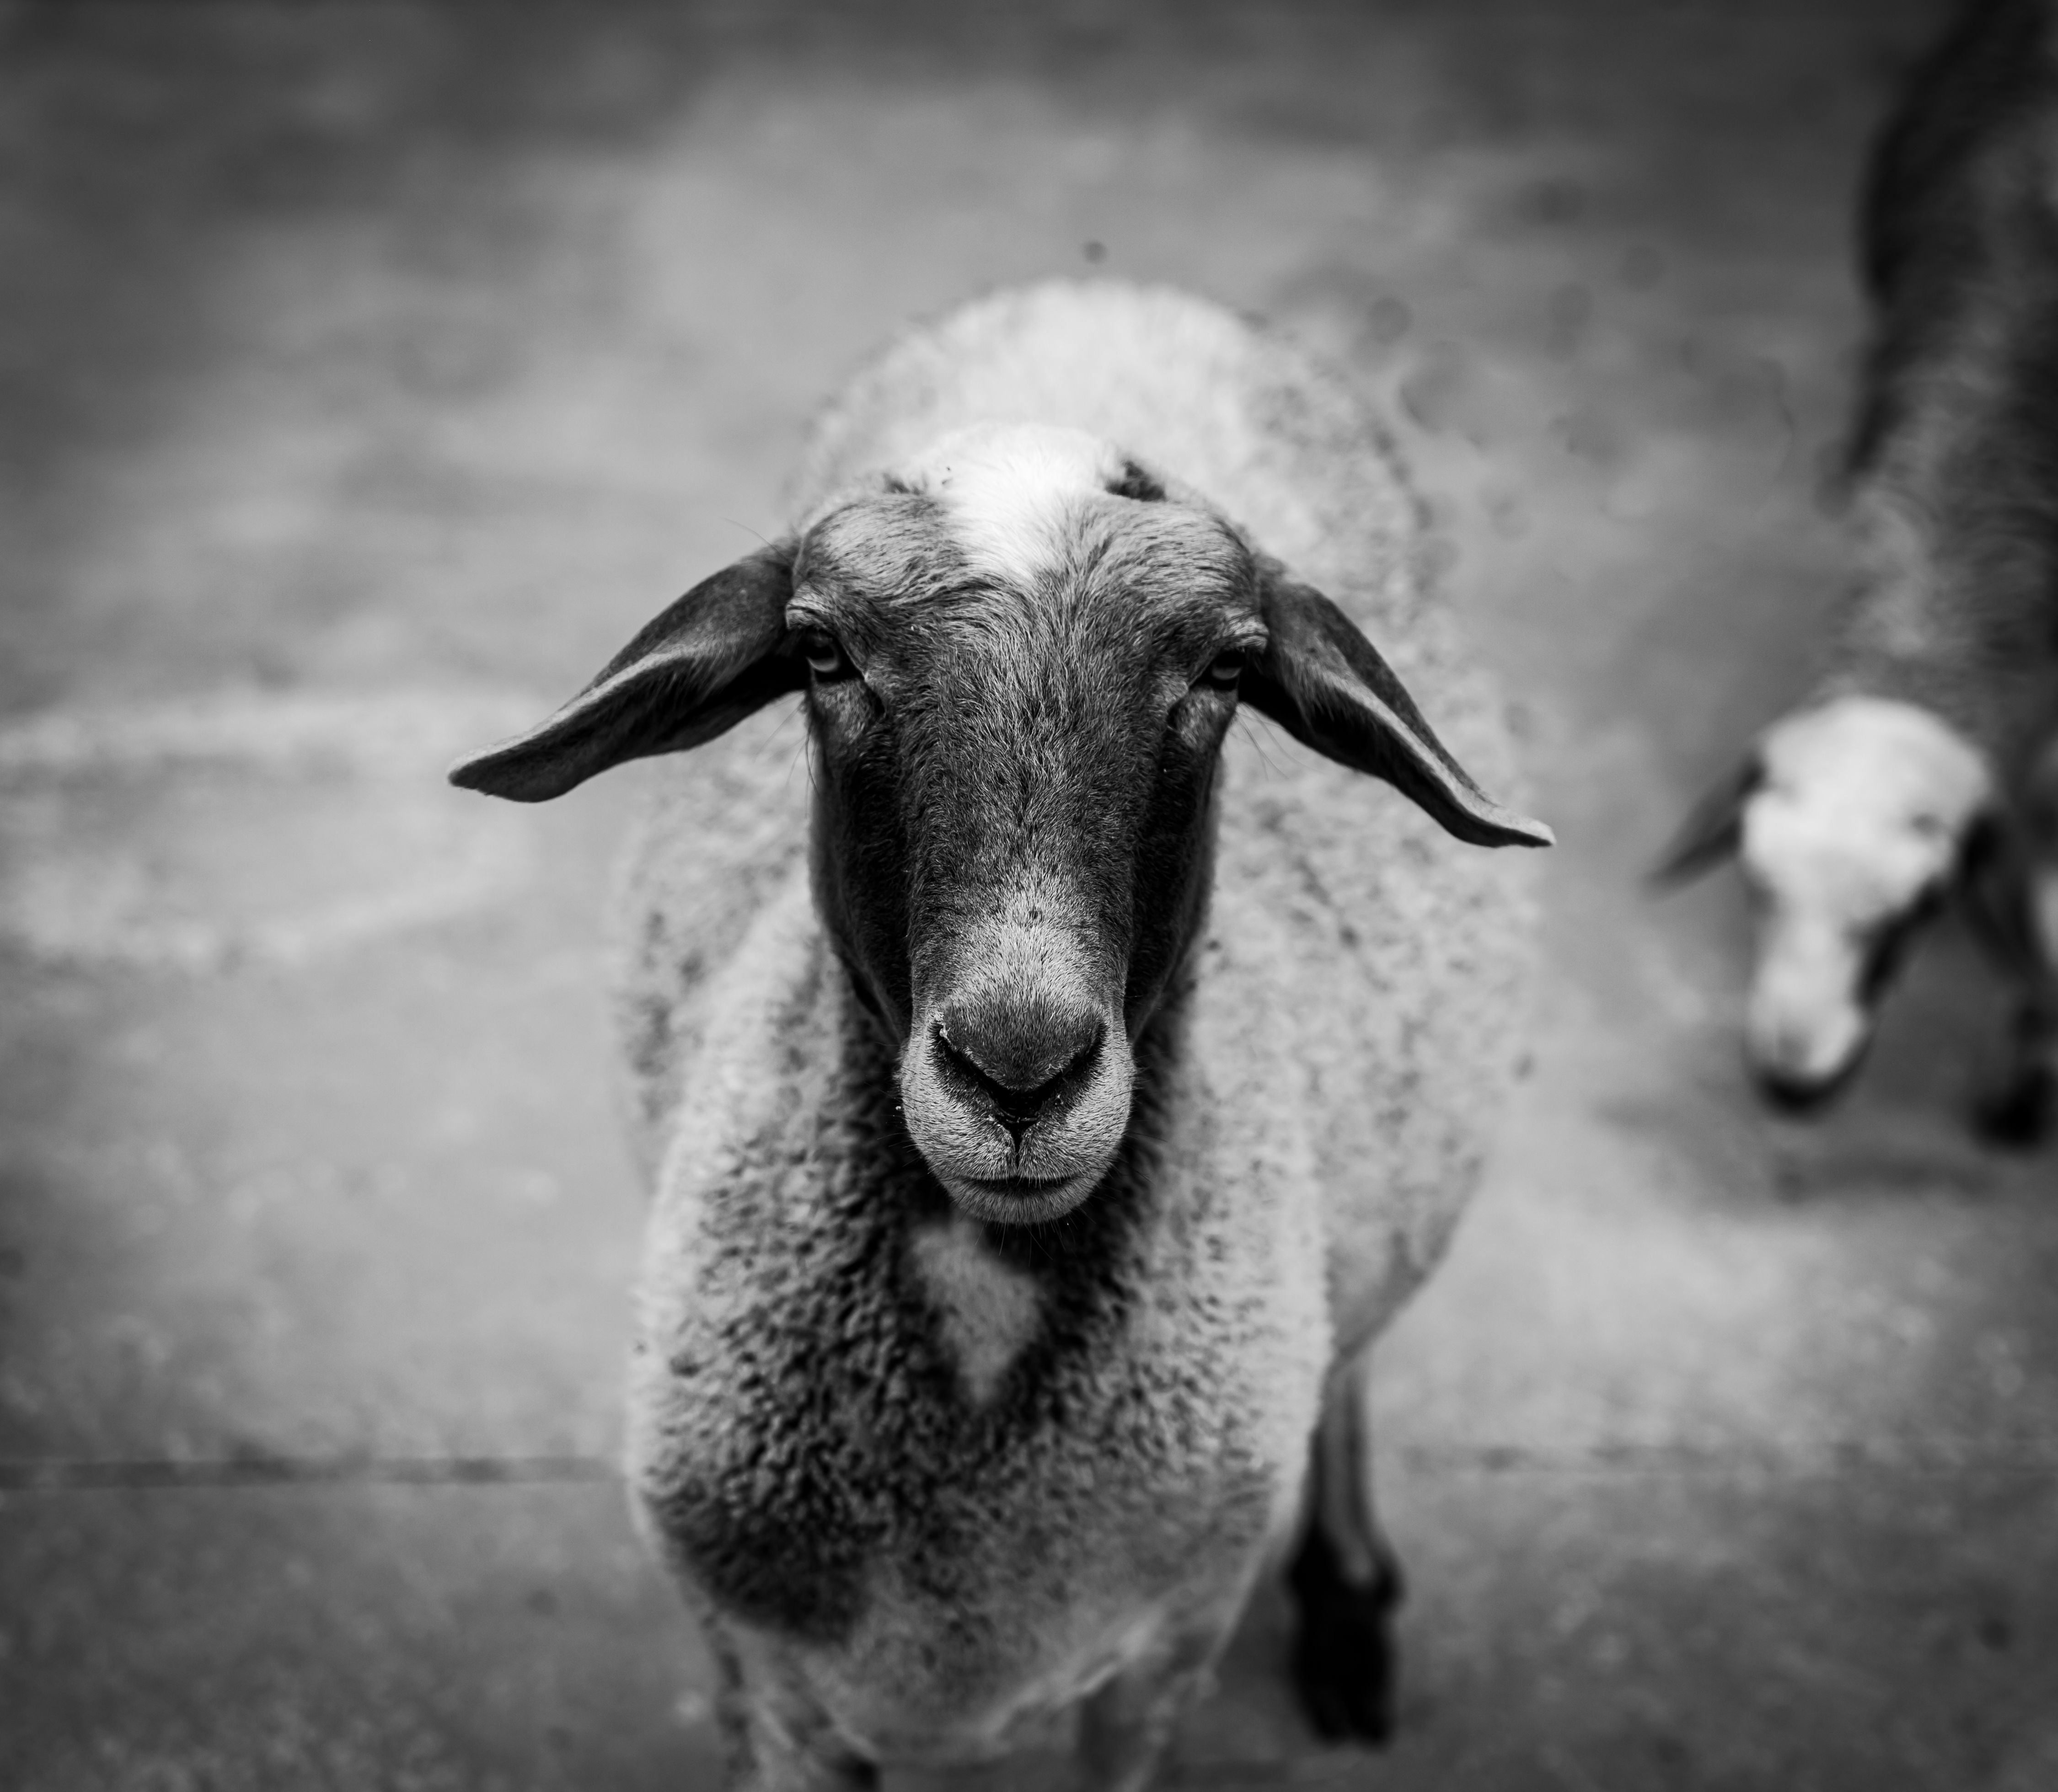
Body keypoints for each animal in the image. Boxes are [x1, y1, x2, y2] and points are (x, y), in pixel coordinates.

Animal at [449, 279, 1551, 1791]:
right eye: (821, 651)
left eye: (1227, 667)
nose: (1018, 1068)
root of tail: (1112, 294)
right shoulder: (768, 1680)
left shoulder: (1155, 1659)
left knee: (1355, 1355)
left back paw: (1346, 1601)